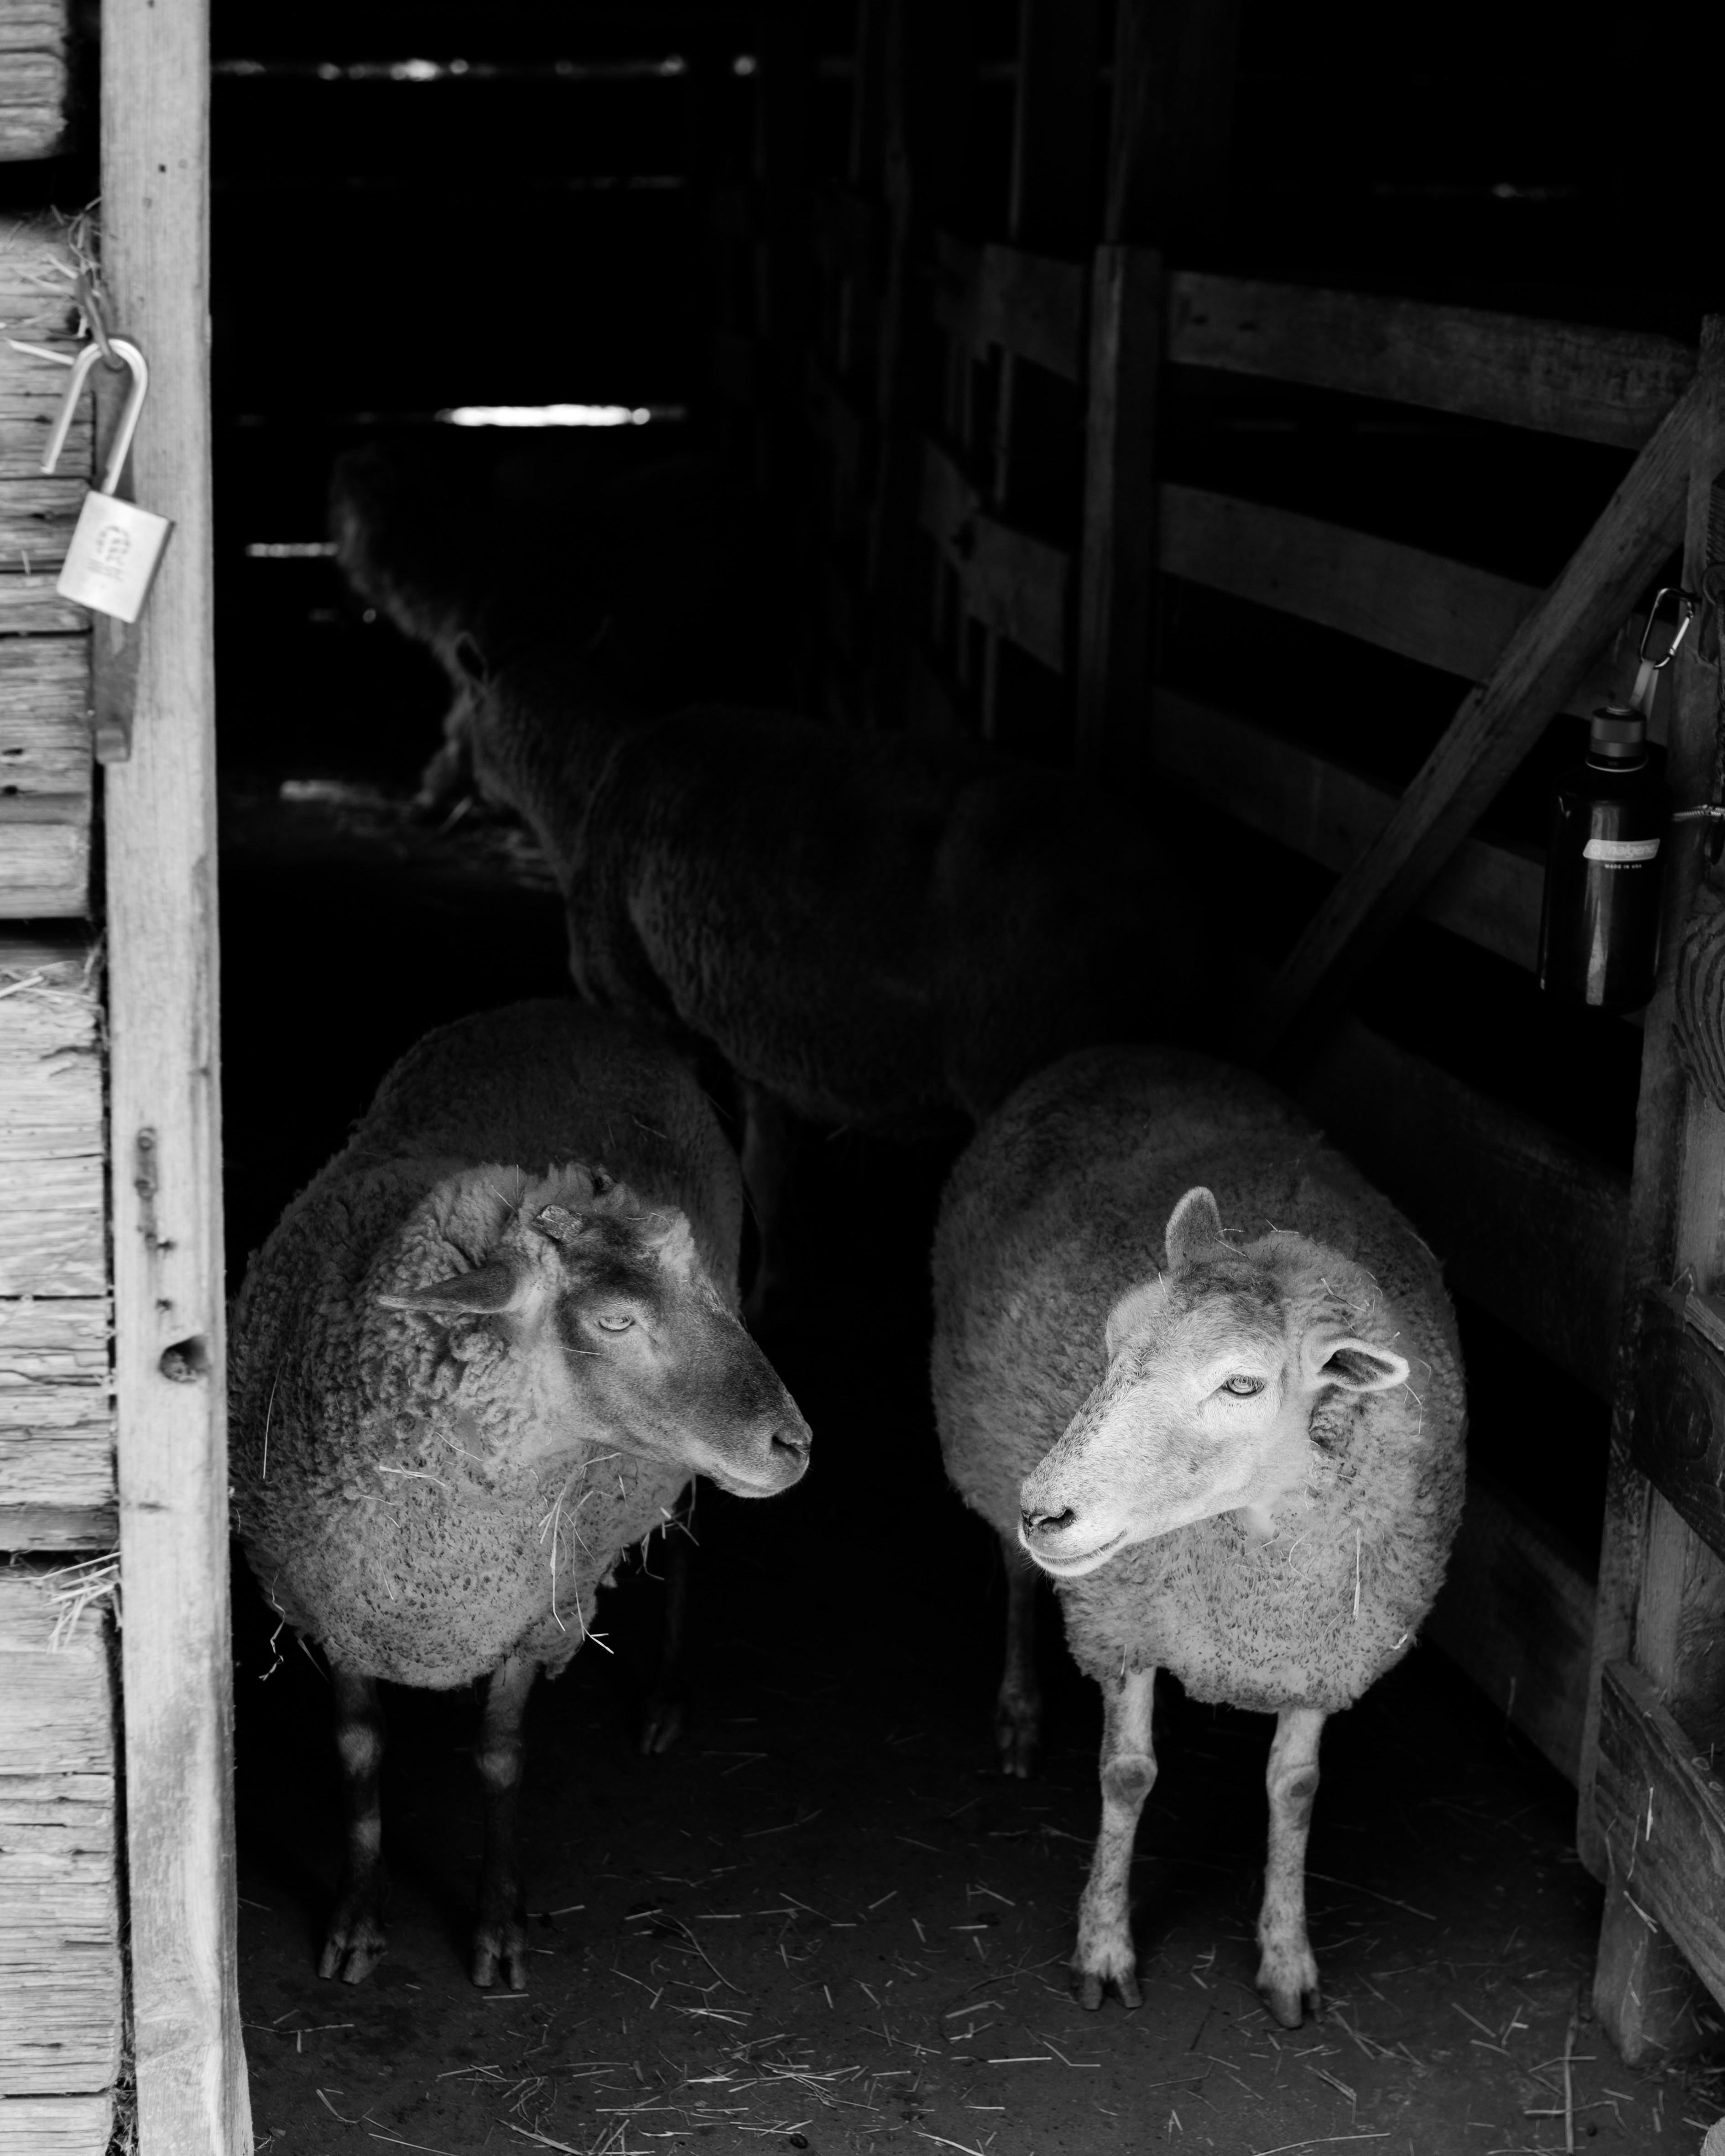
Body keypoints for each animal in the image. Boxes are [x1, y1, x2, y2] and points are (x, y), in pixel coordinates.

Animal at [228, 998, 811, 1989]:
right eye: (615, 1320)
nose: (794, 1442)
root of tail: (575, 1009)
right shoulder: (337, 1601)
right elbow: (358, 1748)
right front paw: (357, 1916)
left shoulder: (533, 1610)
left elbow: (500, 1758)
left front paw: (498, 1924)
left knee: (682, 1543)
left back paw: (666, 1697)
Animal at [330, 445, 1215, 1318]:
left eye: (464, 708)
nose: (444, 789)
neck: (587, 779)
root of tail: (1165, 901)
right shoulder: (758, 1030)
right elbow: (766, 1165)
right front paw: (779, 1277)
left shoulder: (644, 1008)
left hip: (1023, 1055)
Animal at [931, 1045, 1465, 2025]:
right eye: (1110, 1343)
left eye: (1243, 1384)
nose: (1046, 1511)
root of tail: (1127, 1048)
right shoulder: (1123, 1618)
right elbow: (1125, 1774)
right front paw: (1104, 1946)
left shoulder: (1322, 1646)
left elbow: (1295, 1790)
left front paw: (1287, 1957)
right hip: (987, 1444)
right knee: (1019, 1578)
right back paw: (1019, 1711)